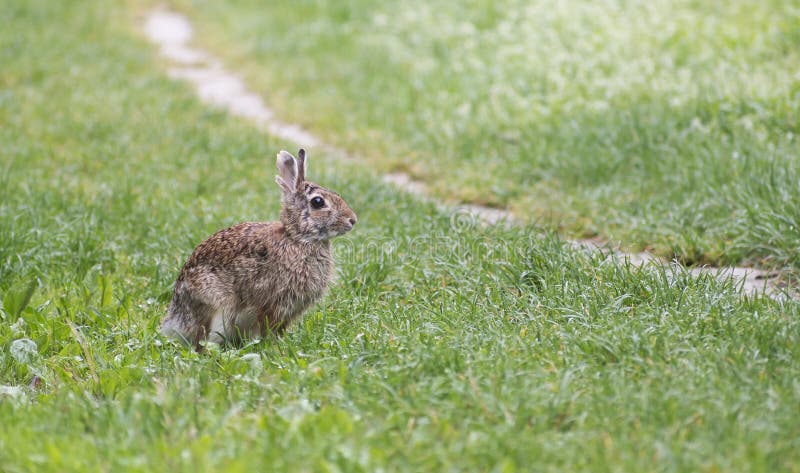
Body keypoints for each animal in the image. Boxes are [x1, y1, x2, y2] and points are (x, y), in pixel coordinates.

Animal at [160, 148, 357, 348]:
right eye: (318, 202)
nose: (352, 220)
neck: (297, 238)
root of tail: (175, 321)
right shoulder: (272, 304)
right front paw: (274, 348)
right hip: (220, 308)